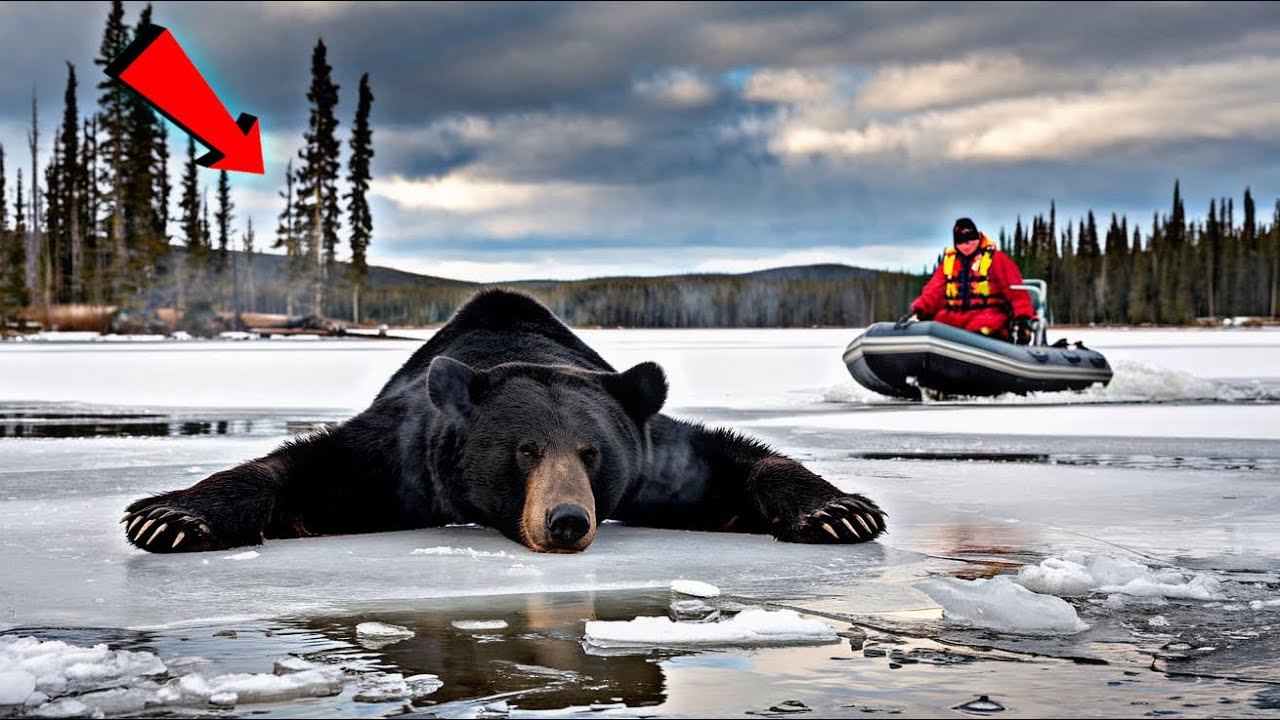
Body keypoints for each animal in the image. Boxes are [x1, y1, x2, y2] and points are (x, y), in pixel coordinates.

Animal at [122, 289, 886, 553]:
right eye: (524, 450)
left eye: (592, 452)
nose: (567, 521)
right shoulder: (402, 458)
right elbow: (307, 469)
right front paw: (168, 517)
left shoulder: (657, 459)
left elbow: (727, 463)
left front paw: (840, 511)